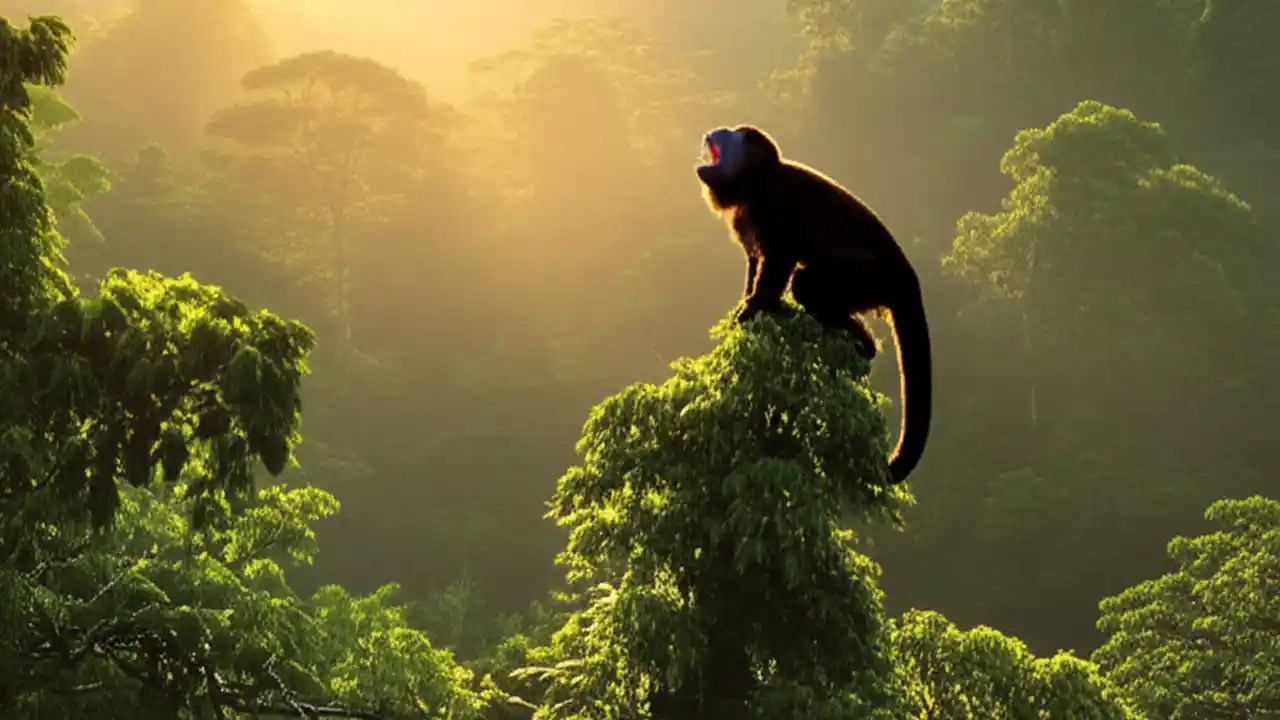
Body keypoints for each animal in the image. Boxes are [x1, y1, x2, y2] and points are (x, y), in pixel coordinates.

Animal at [694, 124, 931, 484]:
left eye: (729, 134)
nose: (713, 131)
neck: (755, 181)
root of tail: (908, 279)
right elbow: (754, 260)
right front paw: (750, 303)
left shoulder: (775, 201)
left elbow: (779, 260)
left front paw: (755, 308)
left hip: (870, 278)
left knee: (806, 282)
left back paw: (861, 345)